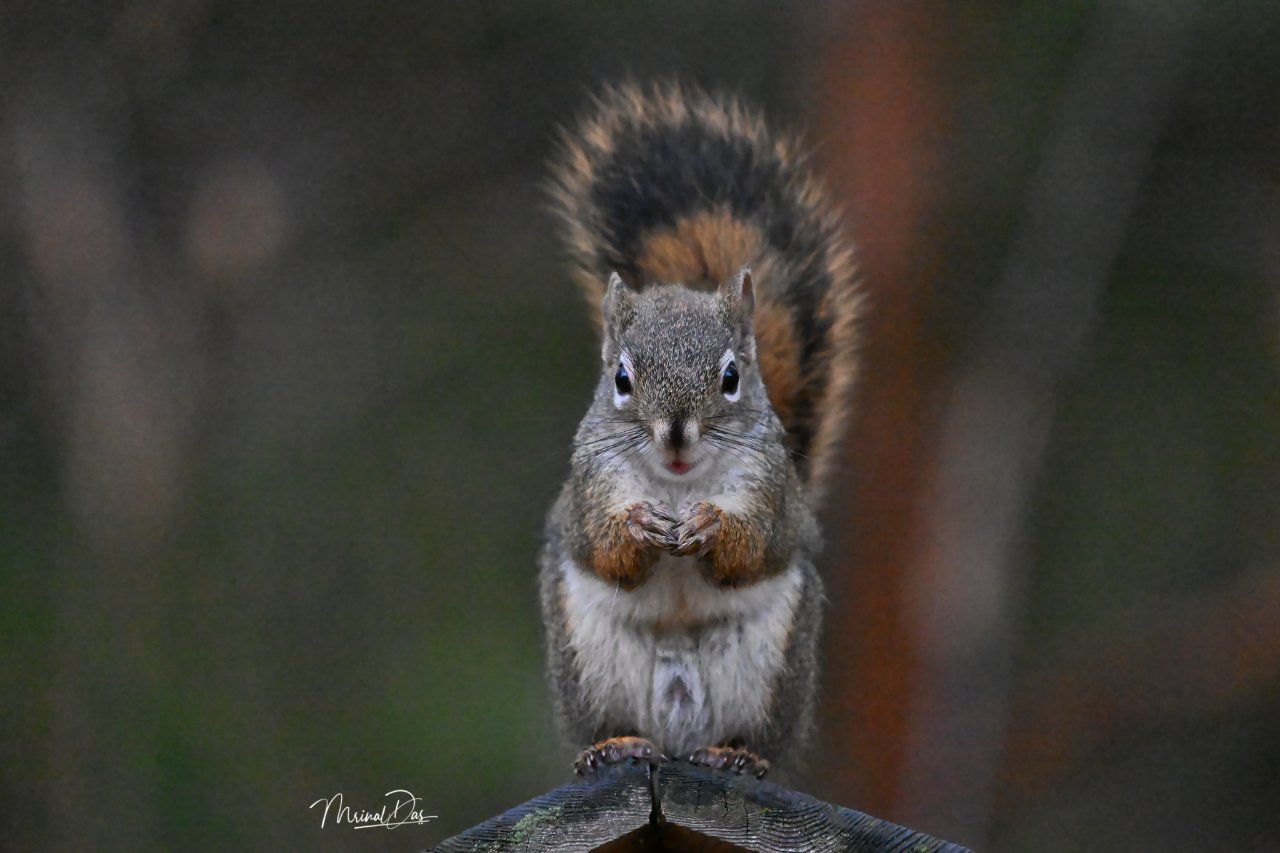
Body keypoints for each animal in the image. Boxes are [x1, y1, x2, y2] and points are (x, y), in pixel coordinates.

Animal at [539, 82, 859, 781]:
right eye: (622, 379)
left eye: (732, 377)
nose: (677, 436)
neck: (679, 486)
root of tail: (676, 739)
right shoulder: (591, 485)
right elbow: (604, 549)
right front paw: (638, 526)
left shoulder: (768, 491)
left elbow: (750, 550)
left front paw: (711, 527)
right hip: (587, 665)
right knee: (613, 724)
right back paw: (614, 745)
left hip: (773, 670)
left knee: (753, 735)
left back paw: (735, 754)